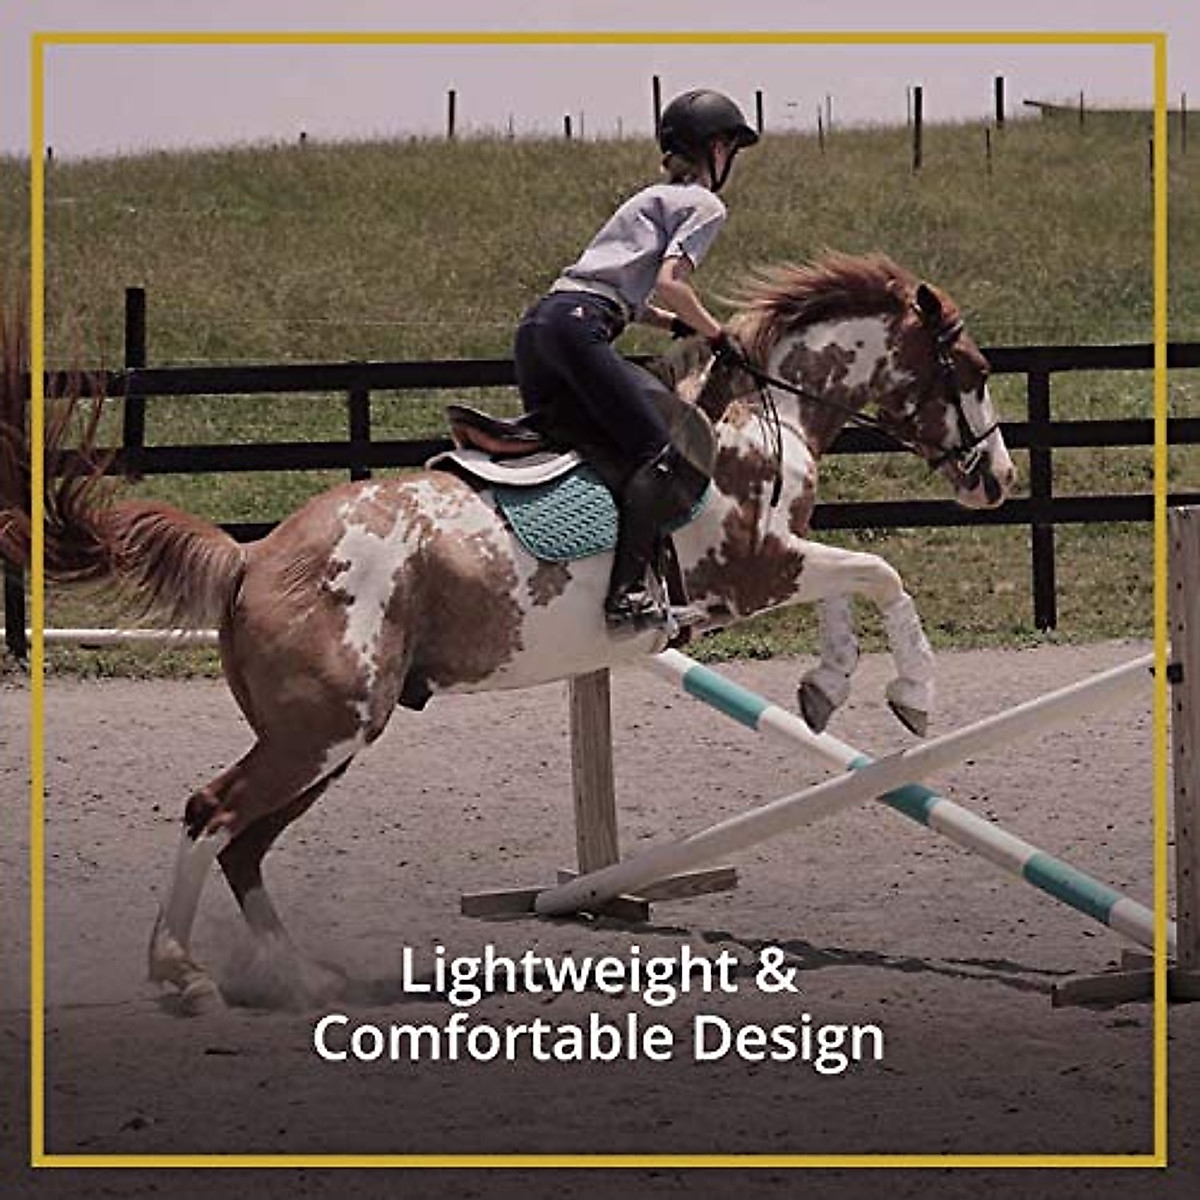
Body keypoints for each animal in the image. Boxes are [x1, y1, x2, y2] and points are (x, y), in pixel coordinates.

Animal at [0, 251, 1015, 1011]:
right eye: (972, 374)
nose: (998, 481)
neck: (758, 418)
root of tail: (252, 558)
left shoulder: (779, 562)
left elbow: (850, 587)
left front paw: (825, 687)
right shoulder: (757, 568)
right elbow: (879, 574)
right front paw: (911, 697)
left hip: (327, 740)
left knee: (244, 841)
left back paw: (299, 977)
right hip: (320, 731)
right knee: (213, 814)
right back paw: (182, 975)